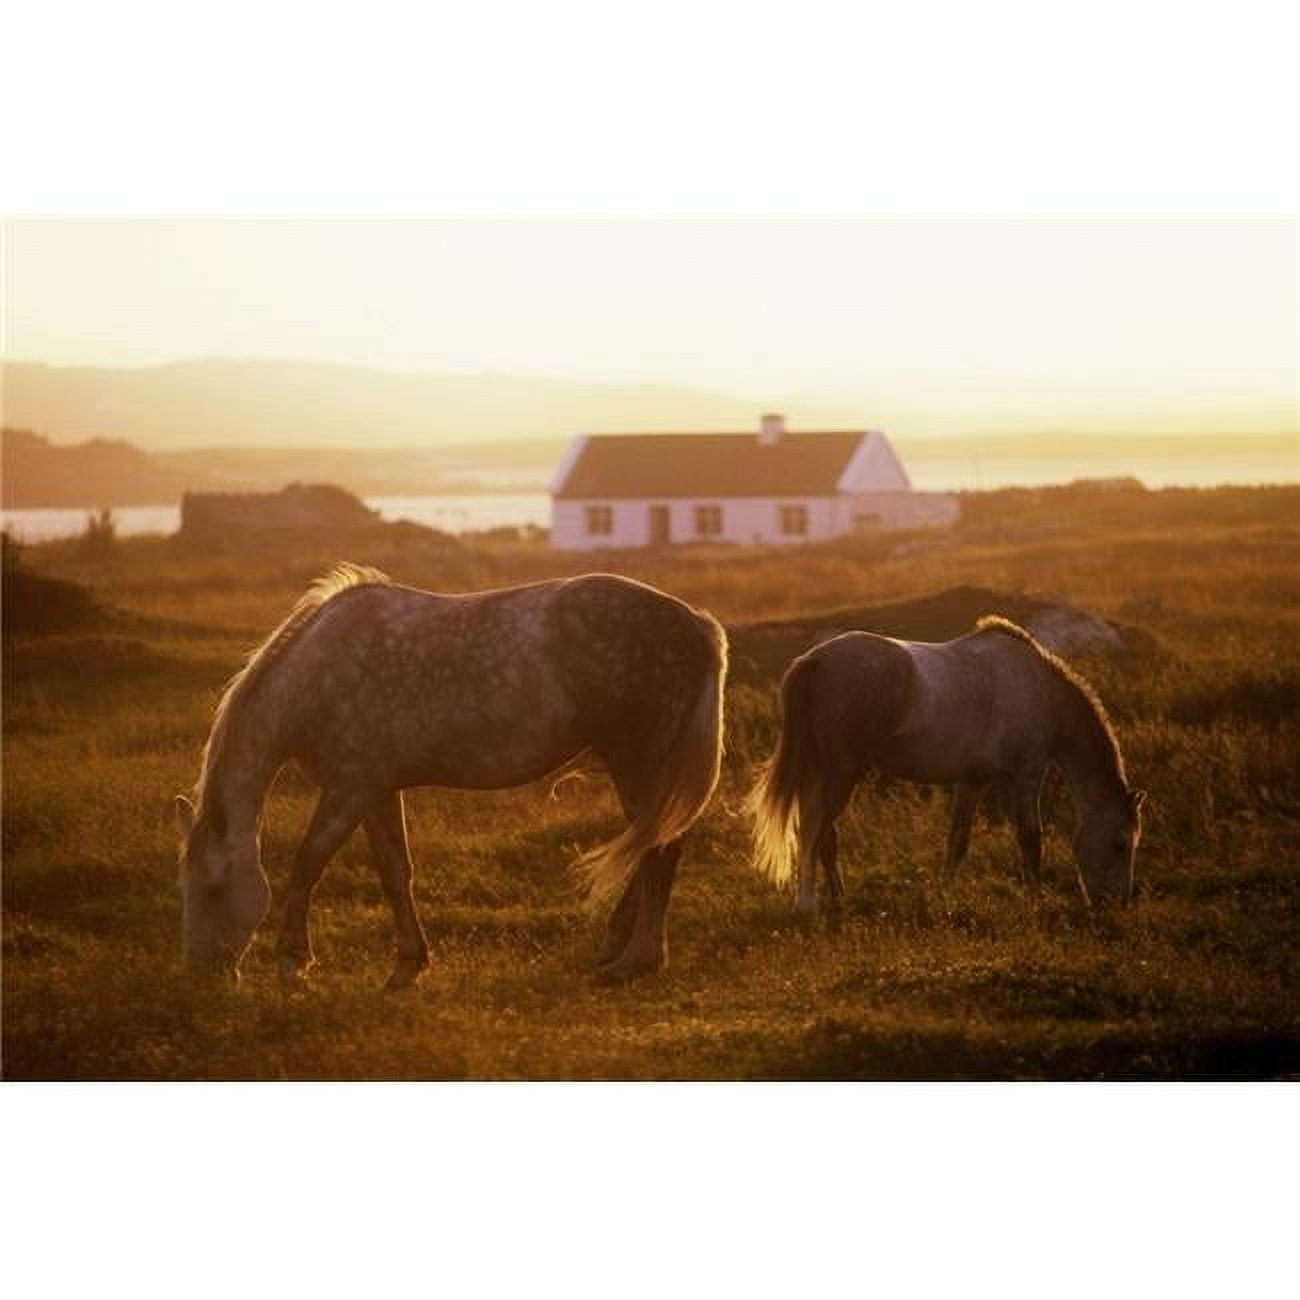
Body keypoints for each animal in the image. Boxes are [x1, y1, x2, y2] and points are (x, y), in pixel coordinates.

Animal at [174, 564, 727, 987]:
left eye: (214, 889)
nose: (203, 975)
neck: (319, 676)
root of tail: (695, 624)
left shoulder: (348, 789)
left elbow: (308, 863)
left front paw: (293, 961)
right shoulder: (375, 790)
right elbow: (395, 872)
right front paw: (408, 966)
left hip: (639, 760)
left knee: (659, 848)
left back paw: (636, 961)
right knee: (650, 842)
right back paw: (615, 945)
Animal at [748, 616, 1144, 913]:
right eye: (1121, 843)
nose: (1118, 904)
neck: (1040, 692)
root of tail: (812, 663)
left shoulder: (971, 782)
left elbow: (957, 841)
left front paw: (944, 895)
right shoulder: (1028, 774)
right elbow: (1031, 839)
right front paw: (1035, 899)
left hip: (823, 772)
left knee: (825, 835)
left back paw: (839, 898)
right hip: (839, 774)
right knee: (814, 830)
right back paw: (808, 904)